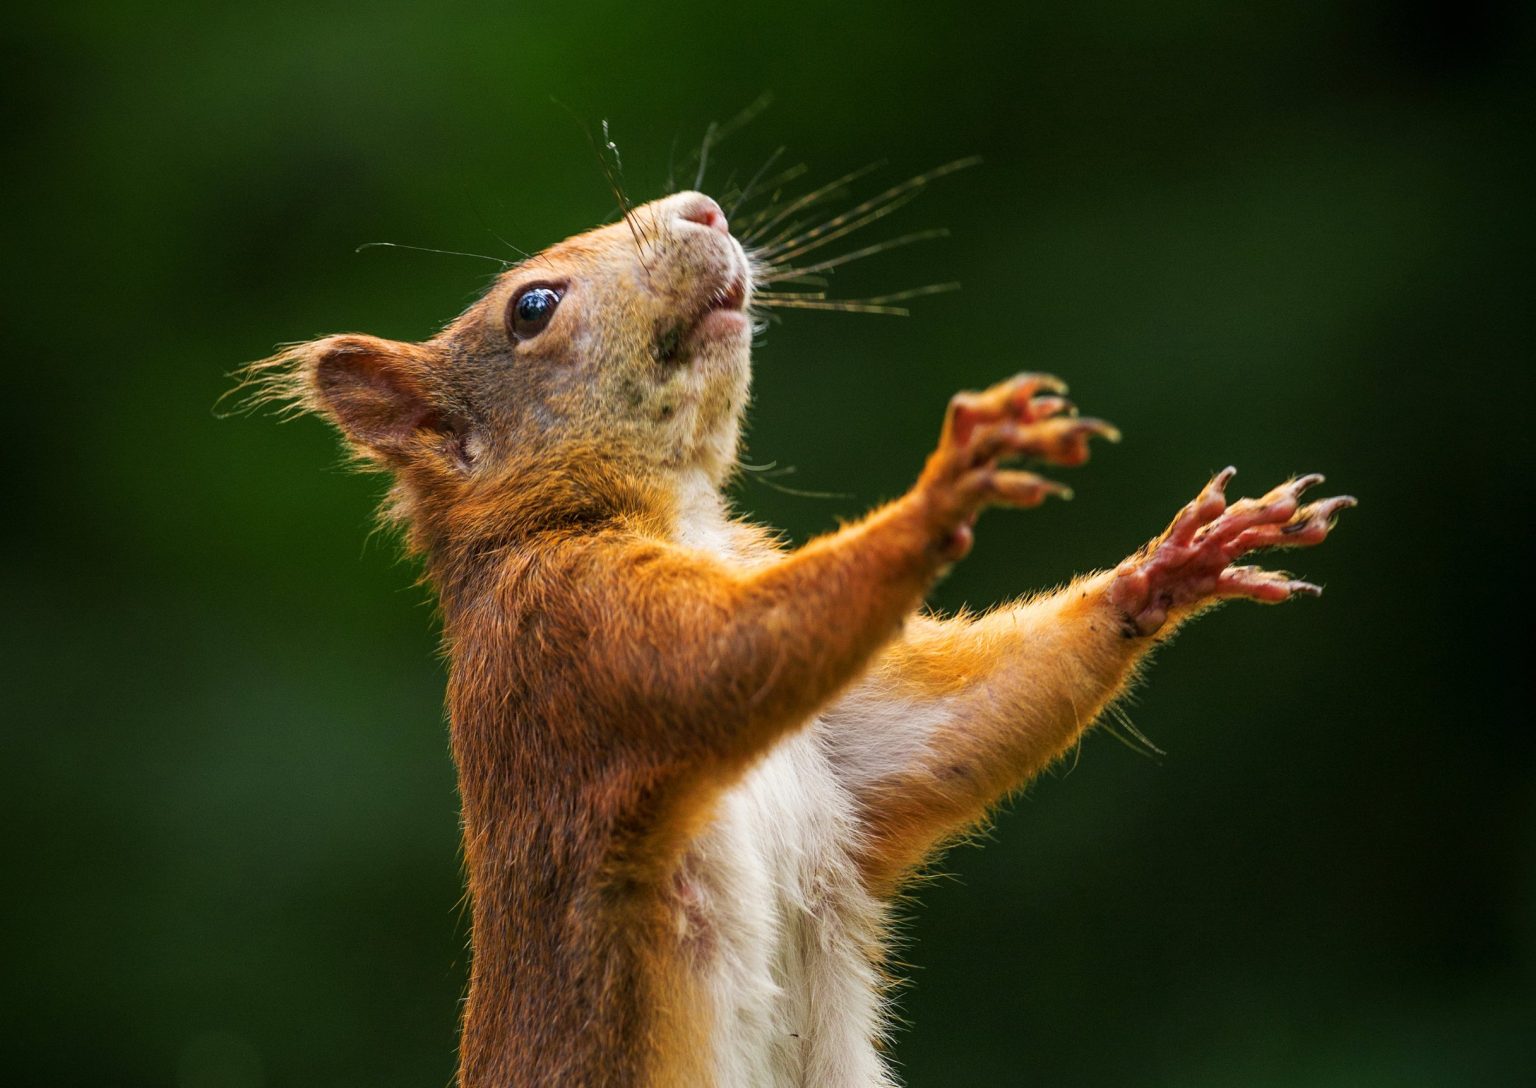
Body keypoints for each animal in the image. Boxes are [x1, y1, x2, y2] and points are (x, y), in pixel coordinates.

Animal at [247, 188, 1354, 1087]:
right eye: (531, 308)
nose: (702, 207)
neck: (674, 512)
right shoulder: (567, 633)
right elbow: (731, 652)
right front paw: (944, 484)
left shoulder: (848, 743)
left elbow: (953, 724)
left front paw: (1175, 562)